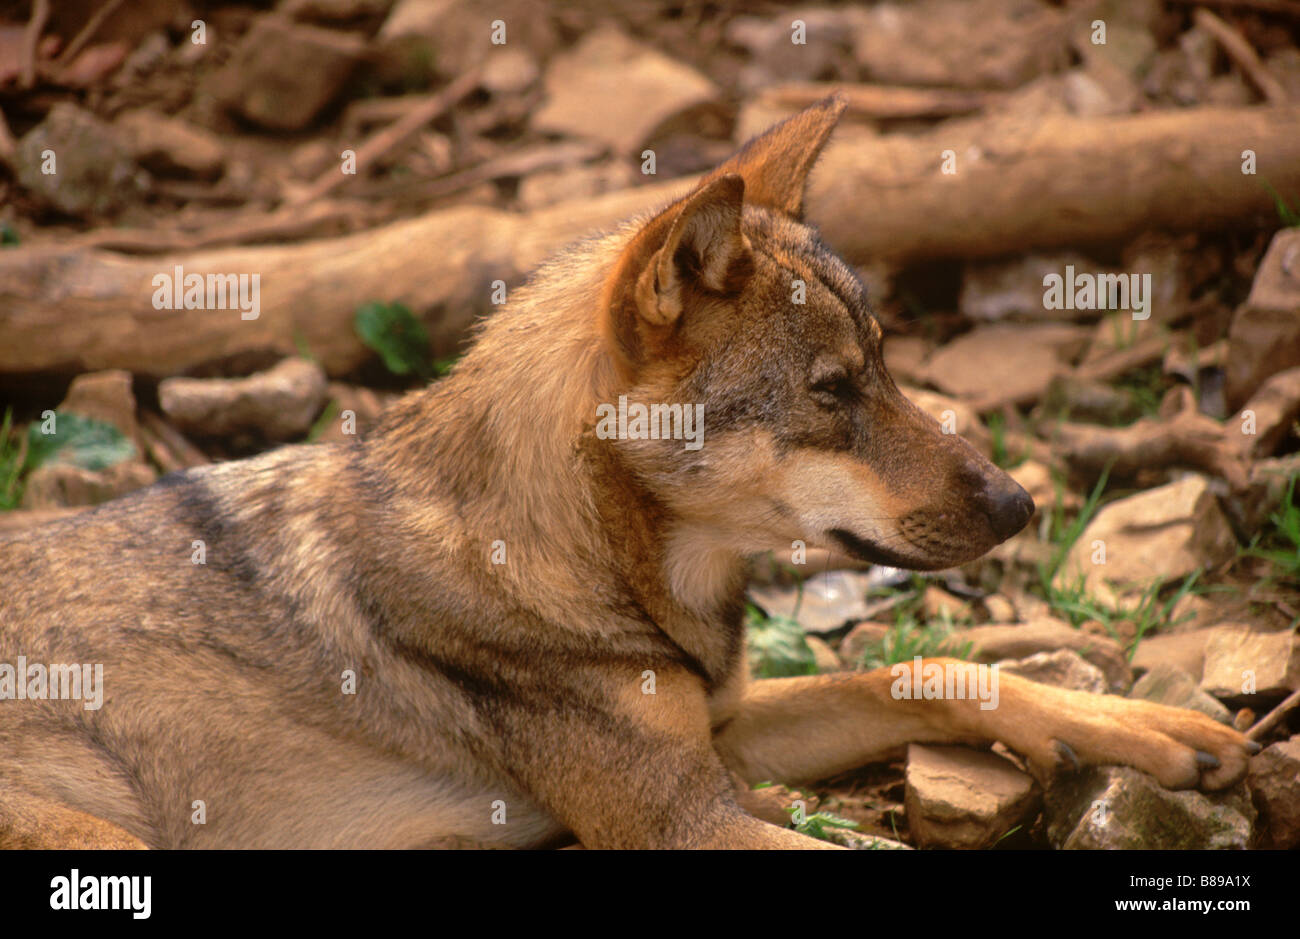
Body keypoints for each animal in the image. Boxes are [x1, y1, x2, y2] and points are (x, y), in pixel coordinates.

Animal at [0, 98, 1256, 849]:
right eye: (832, 393)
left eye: (888, 366)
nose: (1020, 504)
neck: (605, 570)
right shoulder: (684, 823)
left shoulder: (723, 725)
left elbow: (927, 668)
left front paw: (1148, 731)